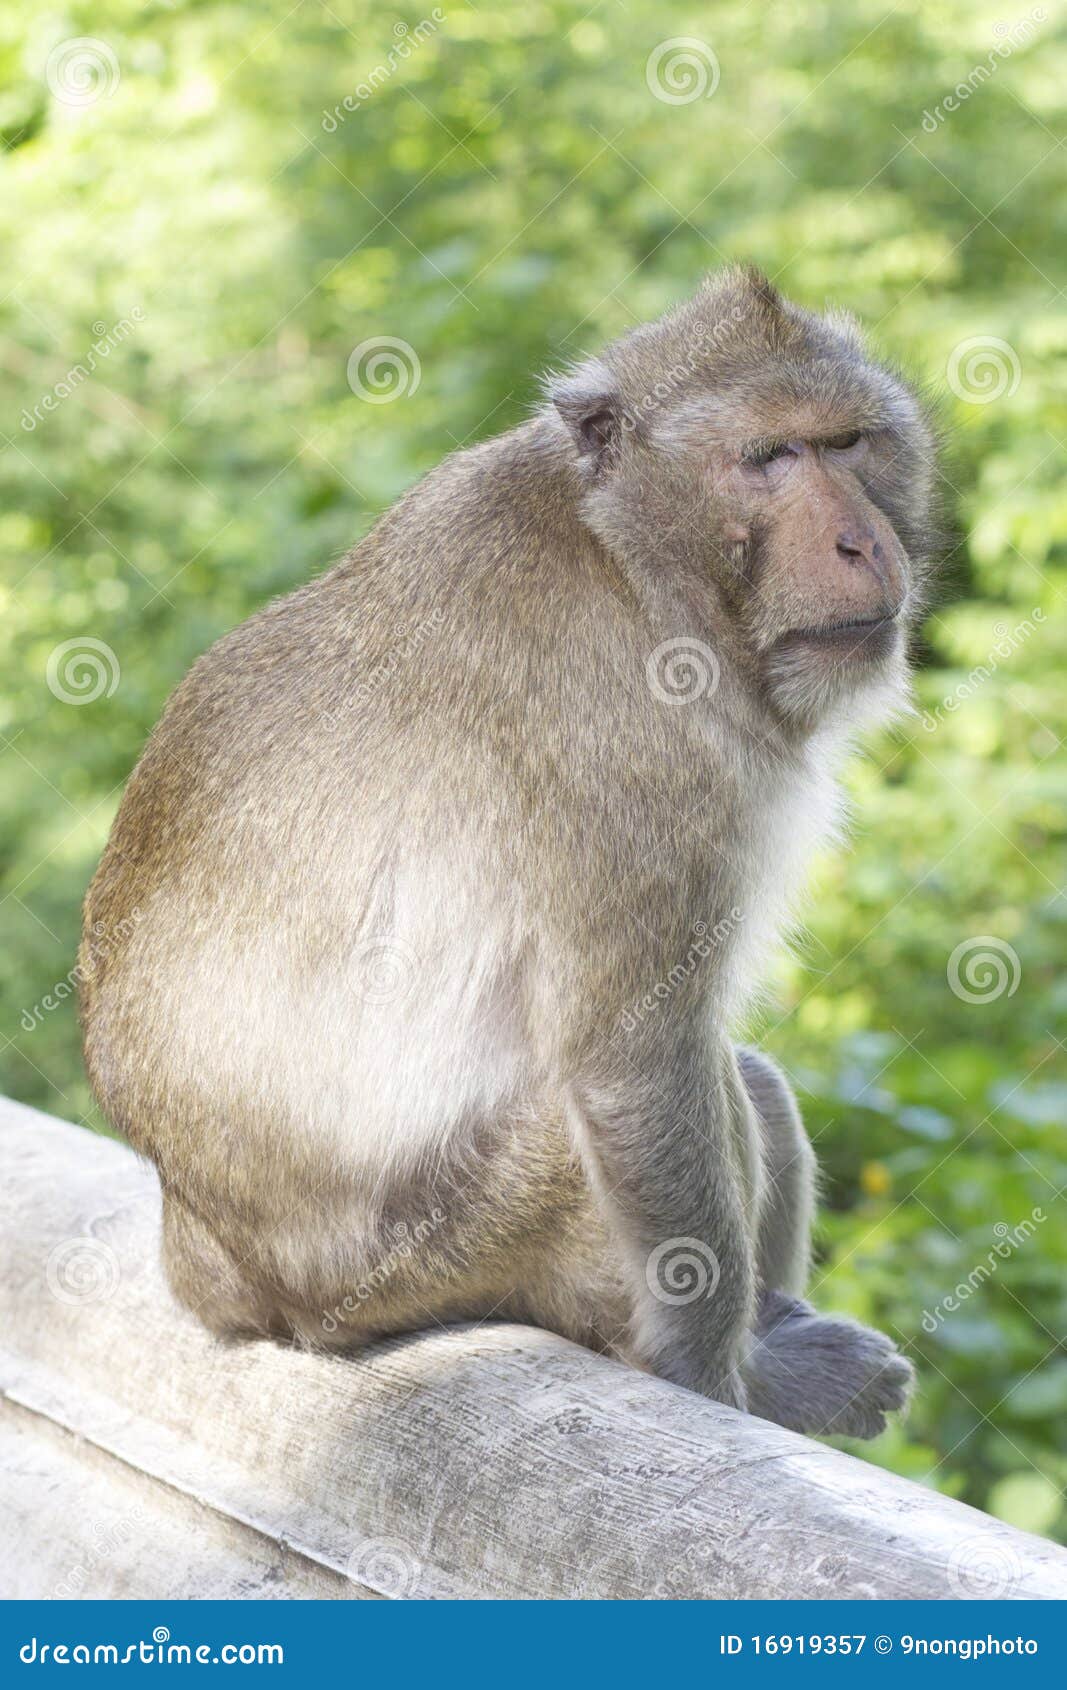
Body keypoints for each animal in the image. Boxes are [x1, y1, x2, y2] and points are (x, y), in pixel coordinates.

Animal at [80, 265, 937, 1440]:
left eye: (847, 443)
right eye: (766, 458)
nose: (859, 543)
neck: (629, 559)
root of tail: (215, 1267)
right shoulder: (643, 757)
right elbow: (631, 1058)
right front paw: (708, 1382)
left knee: (745, 1074)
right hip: (450, 1251)